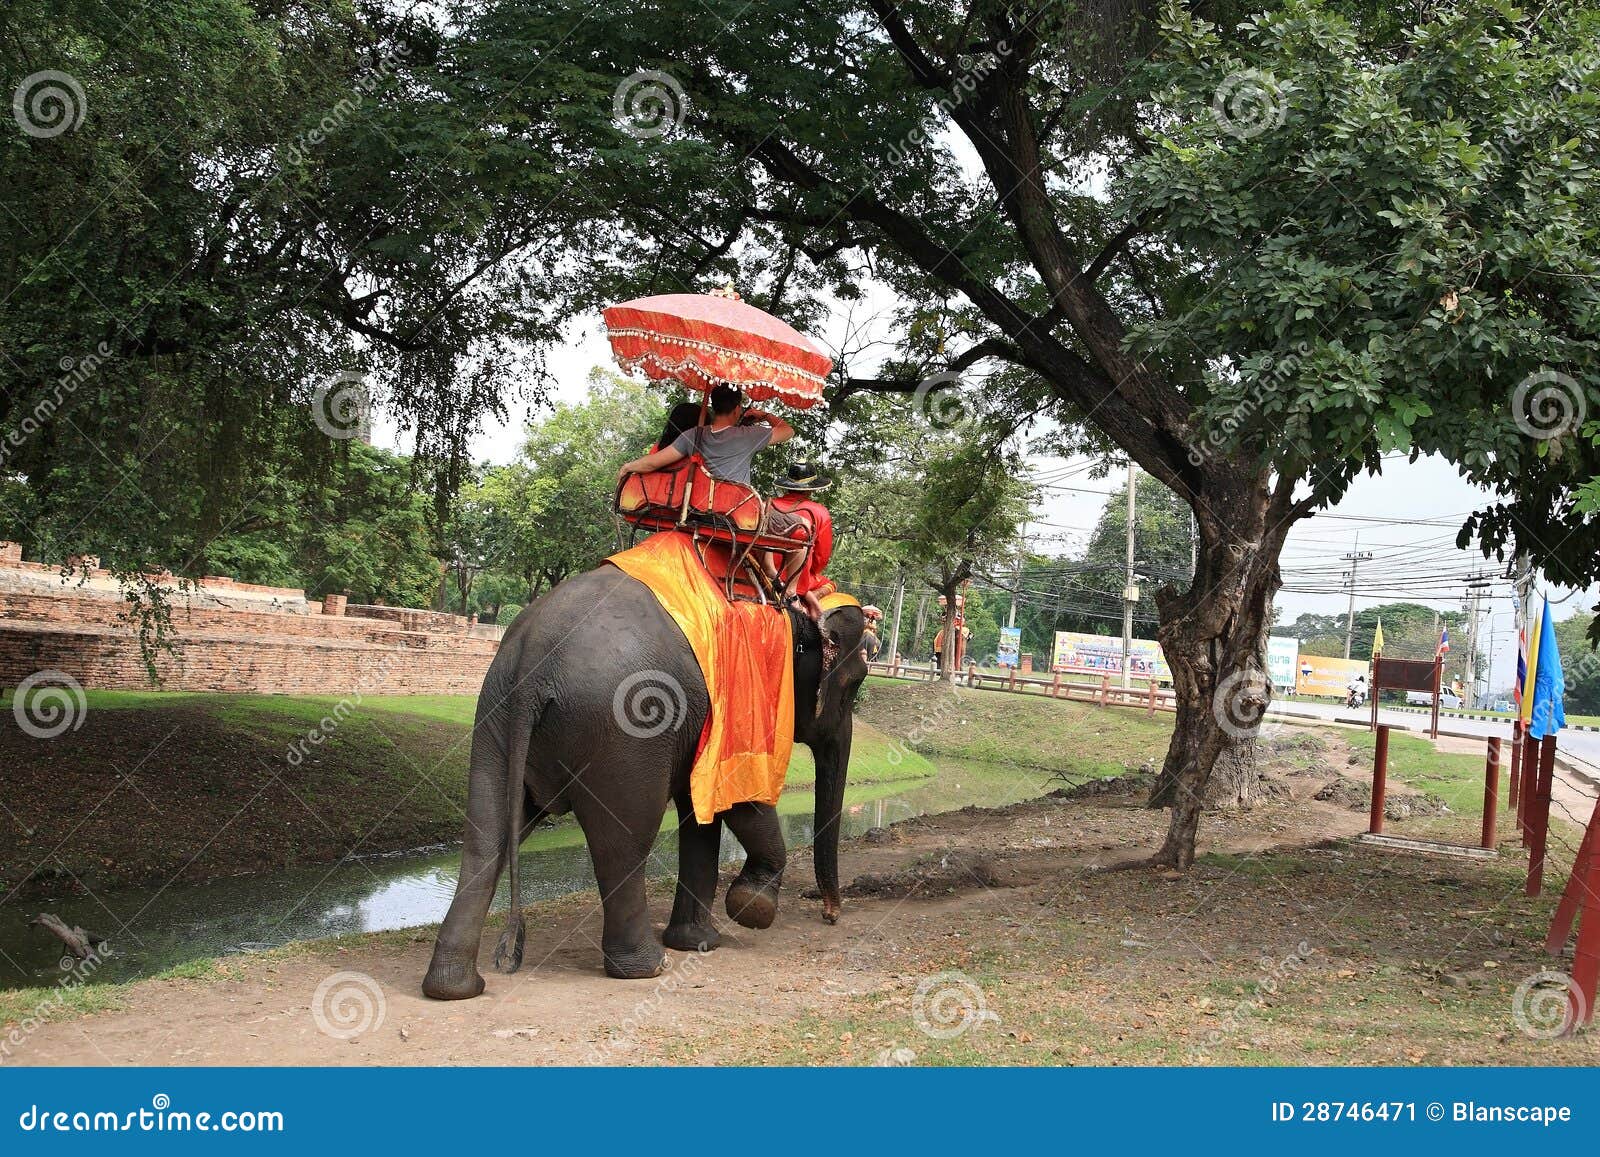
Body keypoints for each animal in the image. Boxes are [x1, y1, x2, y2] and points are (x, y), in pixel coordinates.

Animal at [422, 562, 868, 999]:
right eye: (854, 684)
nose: (830, 916)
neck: (785, 607)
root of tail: (536, 650)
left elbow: (702, 812)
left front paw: (700, 941)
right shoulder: (744, 691)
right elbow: (741, 796)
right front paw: (751, 907)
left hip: (495, 712)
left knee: (488, 834)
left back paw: (453, 987)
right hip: (624, 731)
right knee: (626, 839)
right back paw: (647, 967)